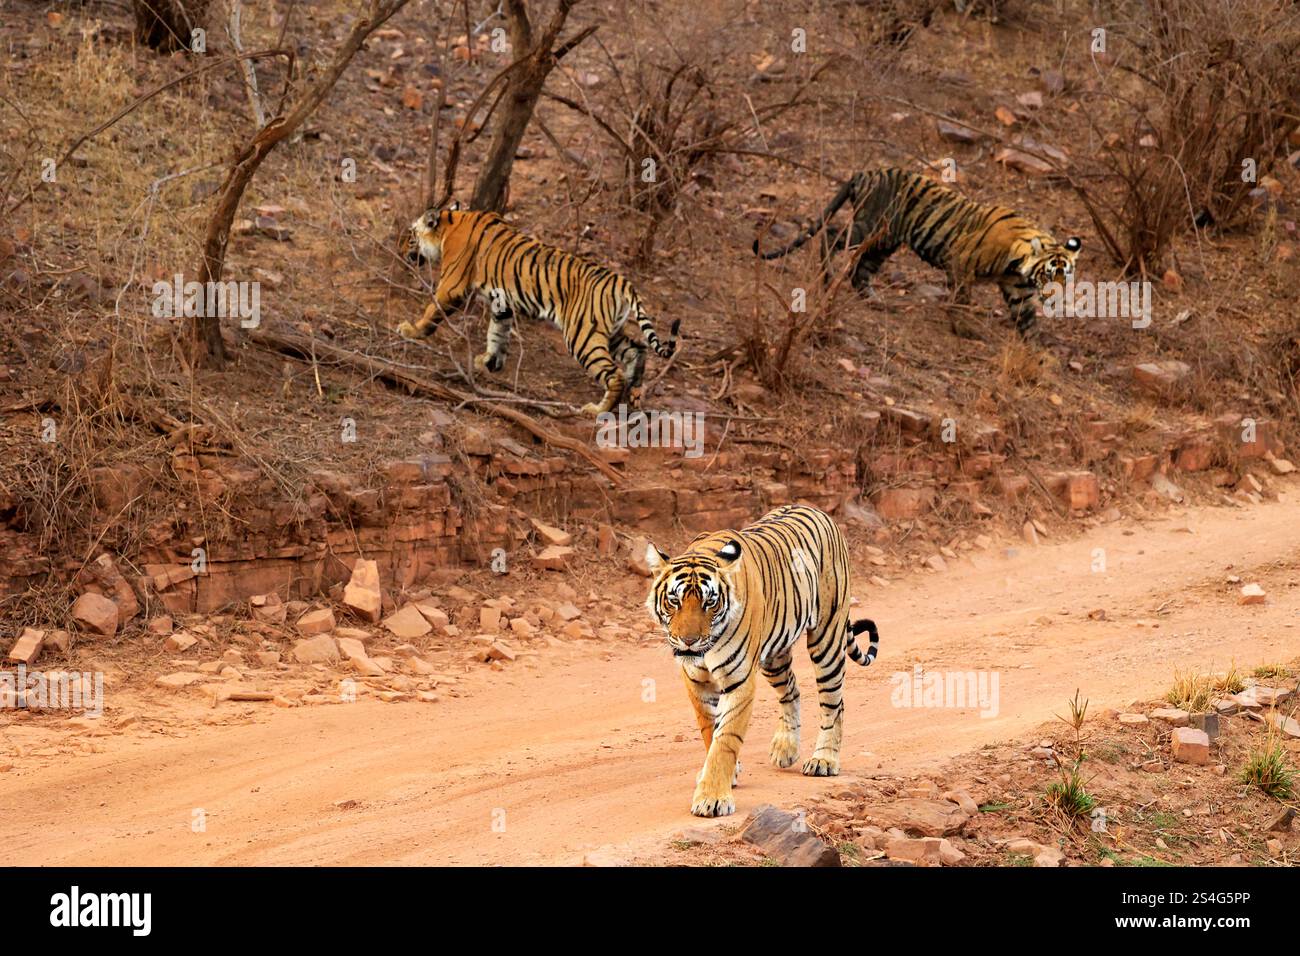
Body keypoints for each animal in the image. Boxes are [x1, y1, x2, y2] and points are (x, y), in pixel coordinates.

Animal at [398, 202, 680, 416]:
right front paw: (488, 361)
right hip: (605, 331)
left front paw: (410, 330)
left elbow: (431, 311)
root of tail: (623, 282)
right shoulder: (502, 304)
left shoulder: (451, 285)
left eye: (410, 236)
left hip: (582, 334)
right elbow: (497, 333)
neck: (451, 223)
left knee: (614, 373)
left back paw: (597, 409)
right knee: (638, 350)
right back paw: (633, 395)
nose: (400, 250)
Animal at [645, 504, 880, 818]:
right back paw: (786, 749)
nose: (689, 641)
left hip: (827, 638)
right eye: (674, 601)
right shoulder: (696, 681)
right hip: (774, 657)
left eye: (710, 602)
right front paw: (725, 774)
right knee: (792, 691)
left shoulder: (739, 680)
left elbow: (725, 739)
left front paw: (712, 798)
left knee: (834, 703)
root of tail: (817, 510)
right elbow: (710, 731)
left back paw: (824, 760)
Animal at [753, 166, 1081, 339]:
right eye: (1049, 274)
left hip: (885, 241)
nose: (1056, 296)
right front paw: (963, 327)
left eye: (1066, 275)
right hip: (870, 226)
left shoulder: (1016, 288)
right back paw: (826, 275)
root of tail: (866, 171)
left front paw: (1036, 347)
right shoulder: (961, 263)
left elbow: (1026, 317)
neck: (1017, 264)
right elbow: (961, 299)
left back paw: (874, 299)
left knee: (862, 270)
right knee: (832, 236)